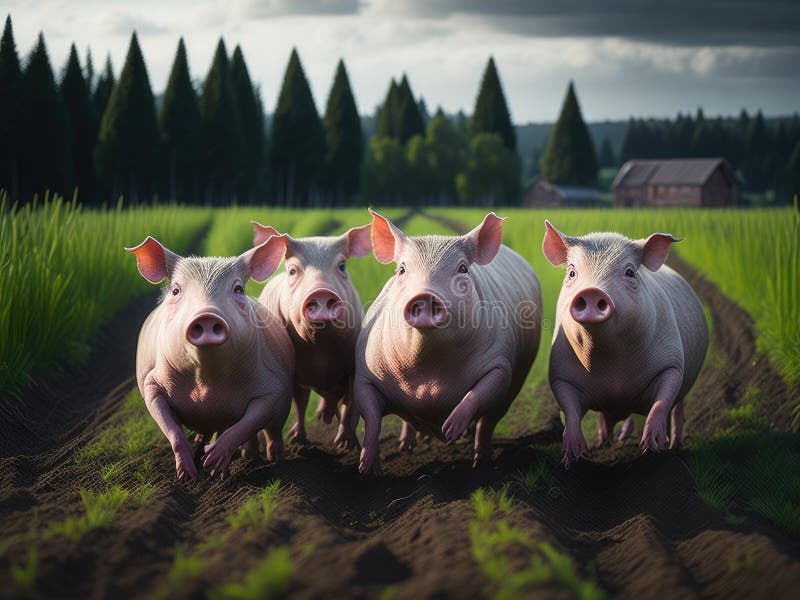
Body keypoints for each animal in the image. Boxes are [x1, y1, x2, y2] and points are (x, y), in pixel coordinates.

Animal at [127, 234, 294, 480]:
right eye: (175, 290)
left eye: (238, 289)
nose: (206, 315)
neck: (206, 381)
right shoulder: (151, 383)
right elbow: (171, 429)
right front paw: (188, 475)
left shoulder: (274, 388)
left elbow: (244, 426)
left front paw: (213, 465)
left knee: (270, 433)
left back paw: (269, 458)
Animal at [253, 221, 371, 449]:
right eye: (292, 270)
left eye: (342, 266)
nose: (321, 292)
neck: (320, 350)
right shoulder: (295, 372)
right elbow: (299, 402)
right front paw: (297, 441)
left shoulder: (352, 366)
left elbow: (351, 403)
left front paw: (344, 444)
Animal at [354, 210, 542, 475]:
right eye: (401, 269)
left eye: (462, 268)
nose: (425, 296)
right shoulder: (365, 373)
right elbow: (371, 419)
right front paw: (367, 470)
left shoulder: (501, 365)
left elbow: (479, 395)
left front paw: (451, 430)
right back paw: (406, 446)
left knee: (488, 422)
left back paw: (479, 459)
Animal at [542, 221, 708, 466]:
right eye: (571, 272)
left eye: (630, 272)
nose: (592, 291)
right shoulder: (560, 374)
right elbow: (569, 410)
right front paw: (572, 458)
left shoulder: (672, 363)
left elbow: (661, 403)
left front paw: (651, 446)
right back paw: (607, 442)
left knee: (677, 409)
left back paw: (674, 445)